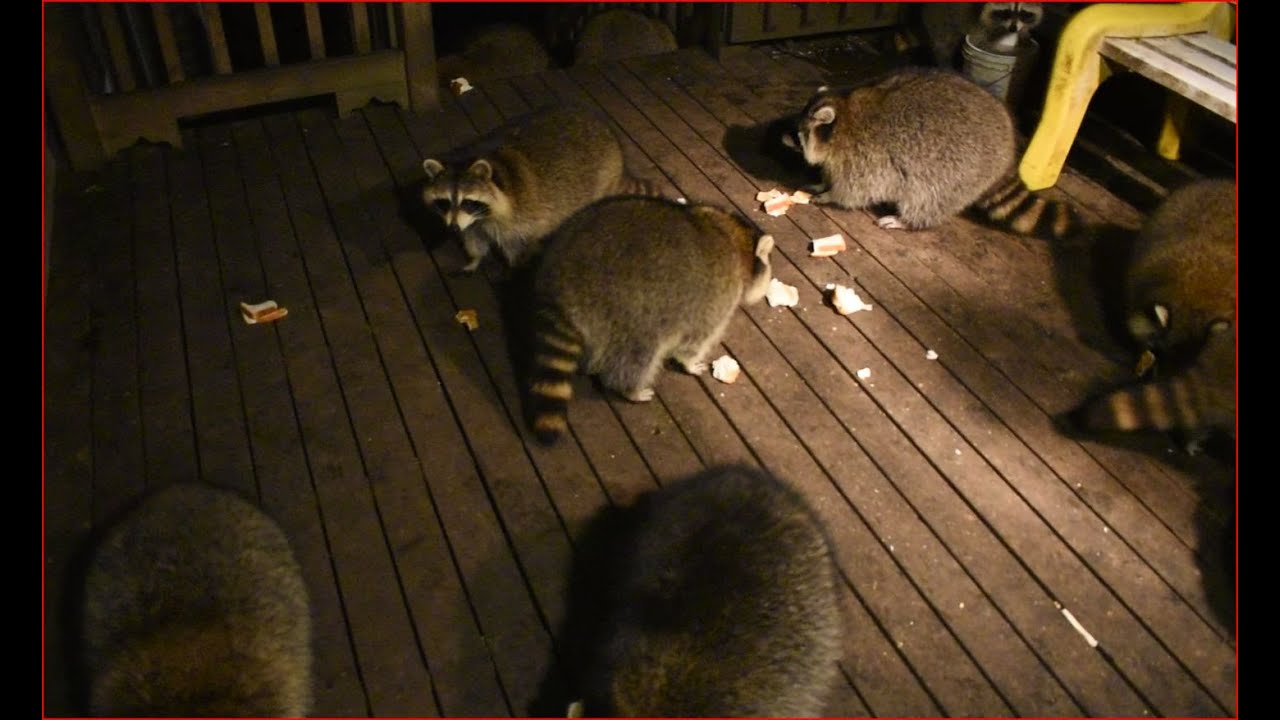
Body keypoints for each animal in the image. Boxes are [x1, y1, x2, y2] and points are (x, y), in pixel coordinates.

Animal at [421, 105, 655, 273]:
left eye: (468, 202)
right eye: (444, 202)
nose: (452, 229)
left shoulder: (520, 217)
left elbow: (518, 244)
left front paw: (516, 266)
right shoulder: (474, 223)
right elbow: (473, 238)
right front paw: (474, 259)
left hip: (602, 176)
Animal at [526, 197, 774, 445]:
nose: (765, 289)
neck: (733, 235)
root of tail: (558, 287)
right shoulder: (717, 296)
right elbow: (695, 339)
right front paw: (689, 363)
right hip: (626, 308)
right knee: (637, 353)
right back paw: (630, 389)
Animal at [789, 67, 1081, 240]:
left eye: (799, 133)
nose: (785, 138)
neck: (845, 110)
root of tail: (1007, 154)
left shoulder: (866, 157)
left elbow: (856, 191)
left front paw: (831, 194)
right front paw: (823, 181)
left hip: (957, 172)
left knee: (927, 198)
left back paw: (908, 220)